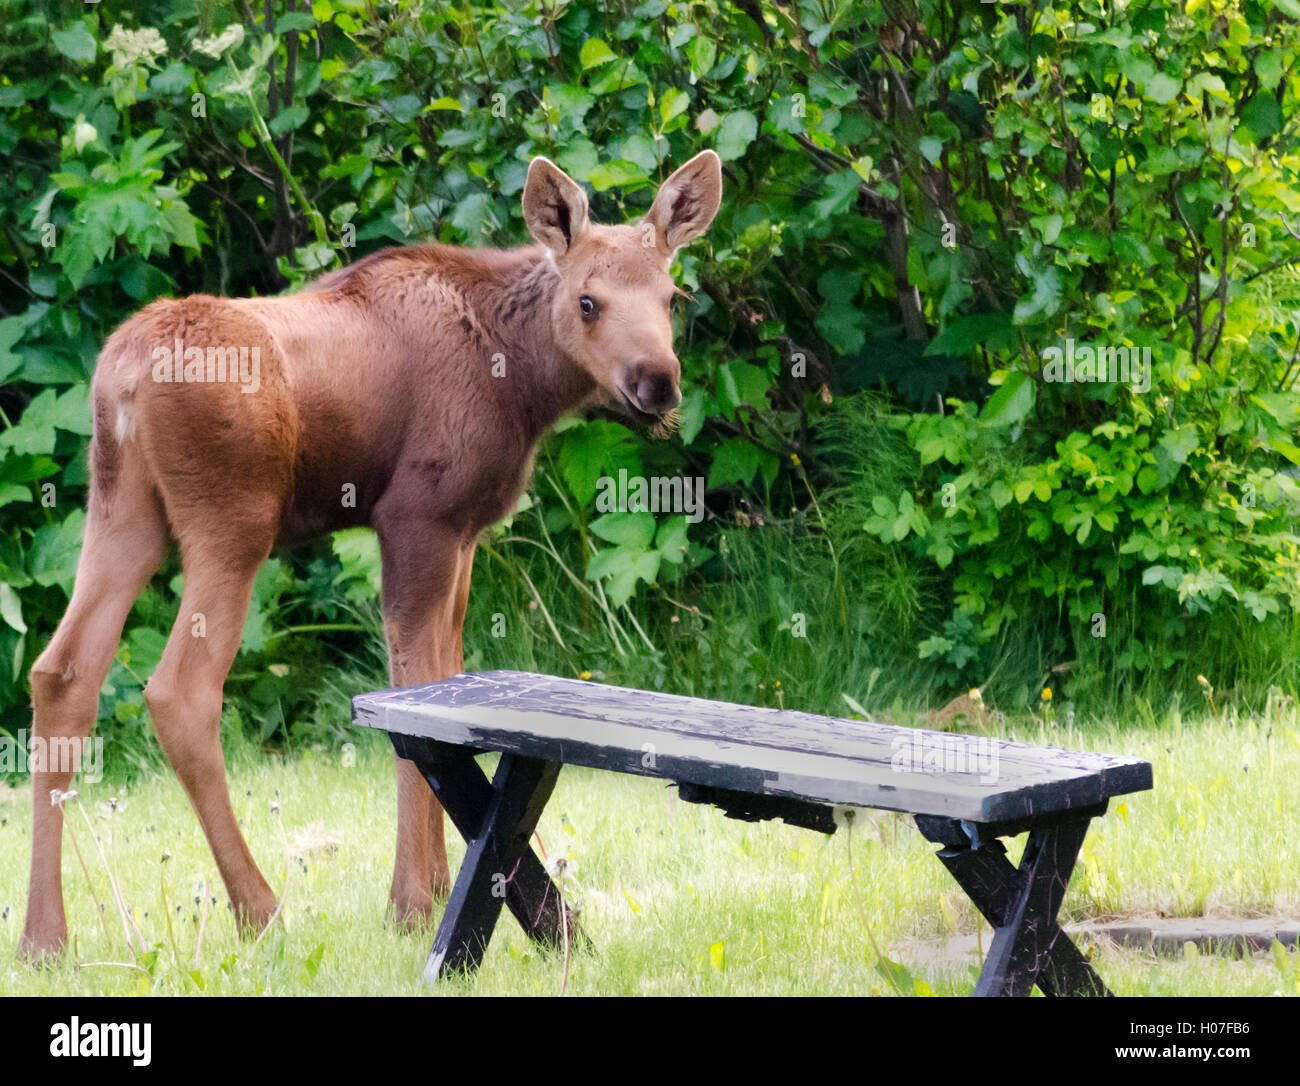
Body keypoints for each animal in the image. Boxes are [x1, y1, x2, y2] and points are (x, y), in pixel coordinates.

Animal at [18, 150, 723, 959]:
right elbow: (410, 694)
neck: (525, 384)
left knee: (61, 673)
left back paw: (43, 939)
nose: (656, 381)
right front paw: (412, 905)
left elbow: (445, 684)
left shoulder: (464, 534)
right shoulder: (417, 517)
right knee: (179, 691)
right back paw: (261, 911)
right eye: (587, 302)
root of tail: (122, 378)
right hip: (233, 519)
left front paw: (442, 883)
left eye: (672, 297)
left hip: (122, 509)